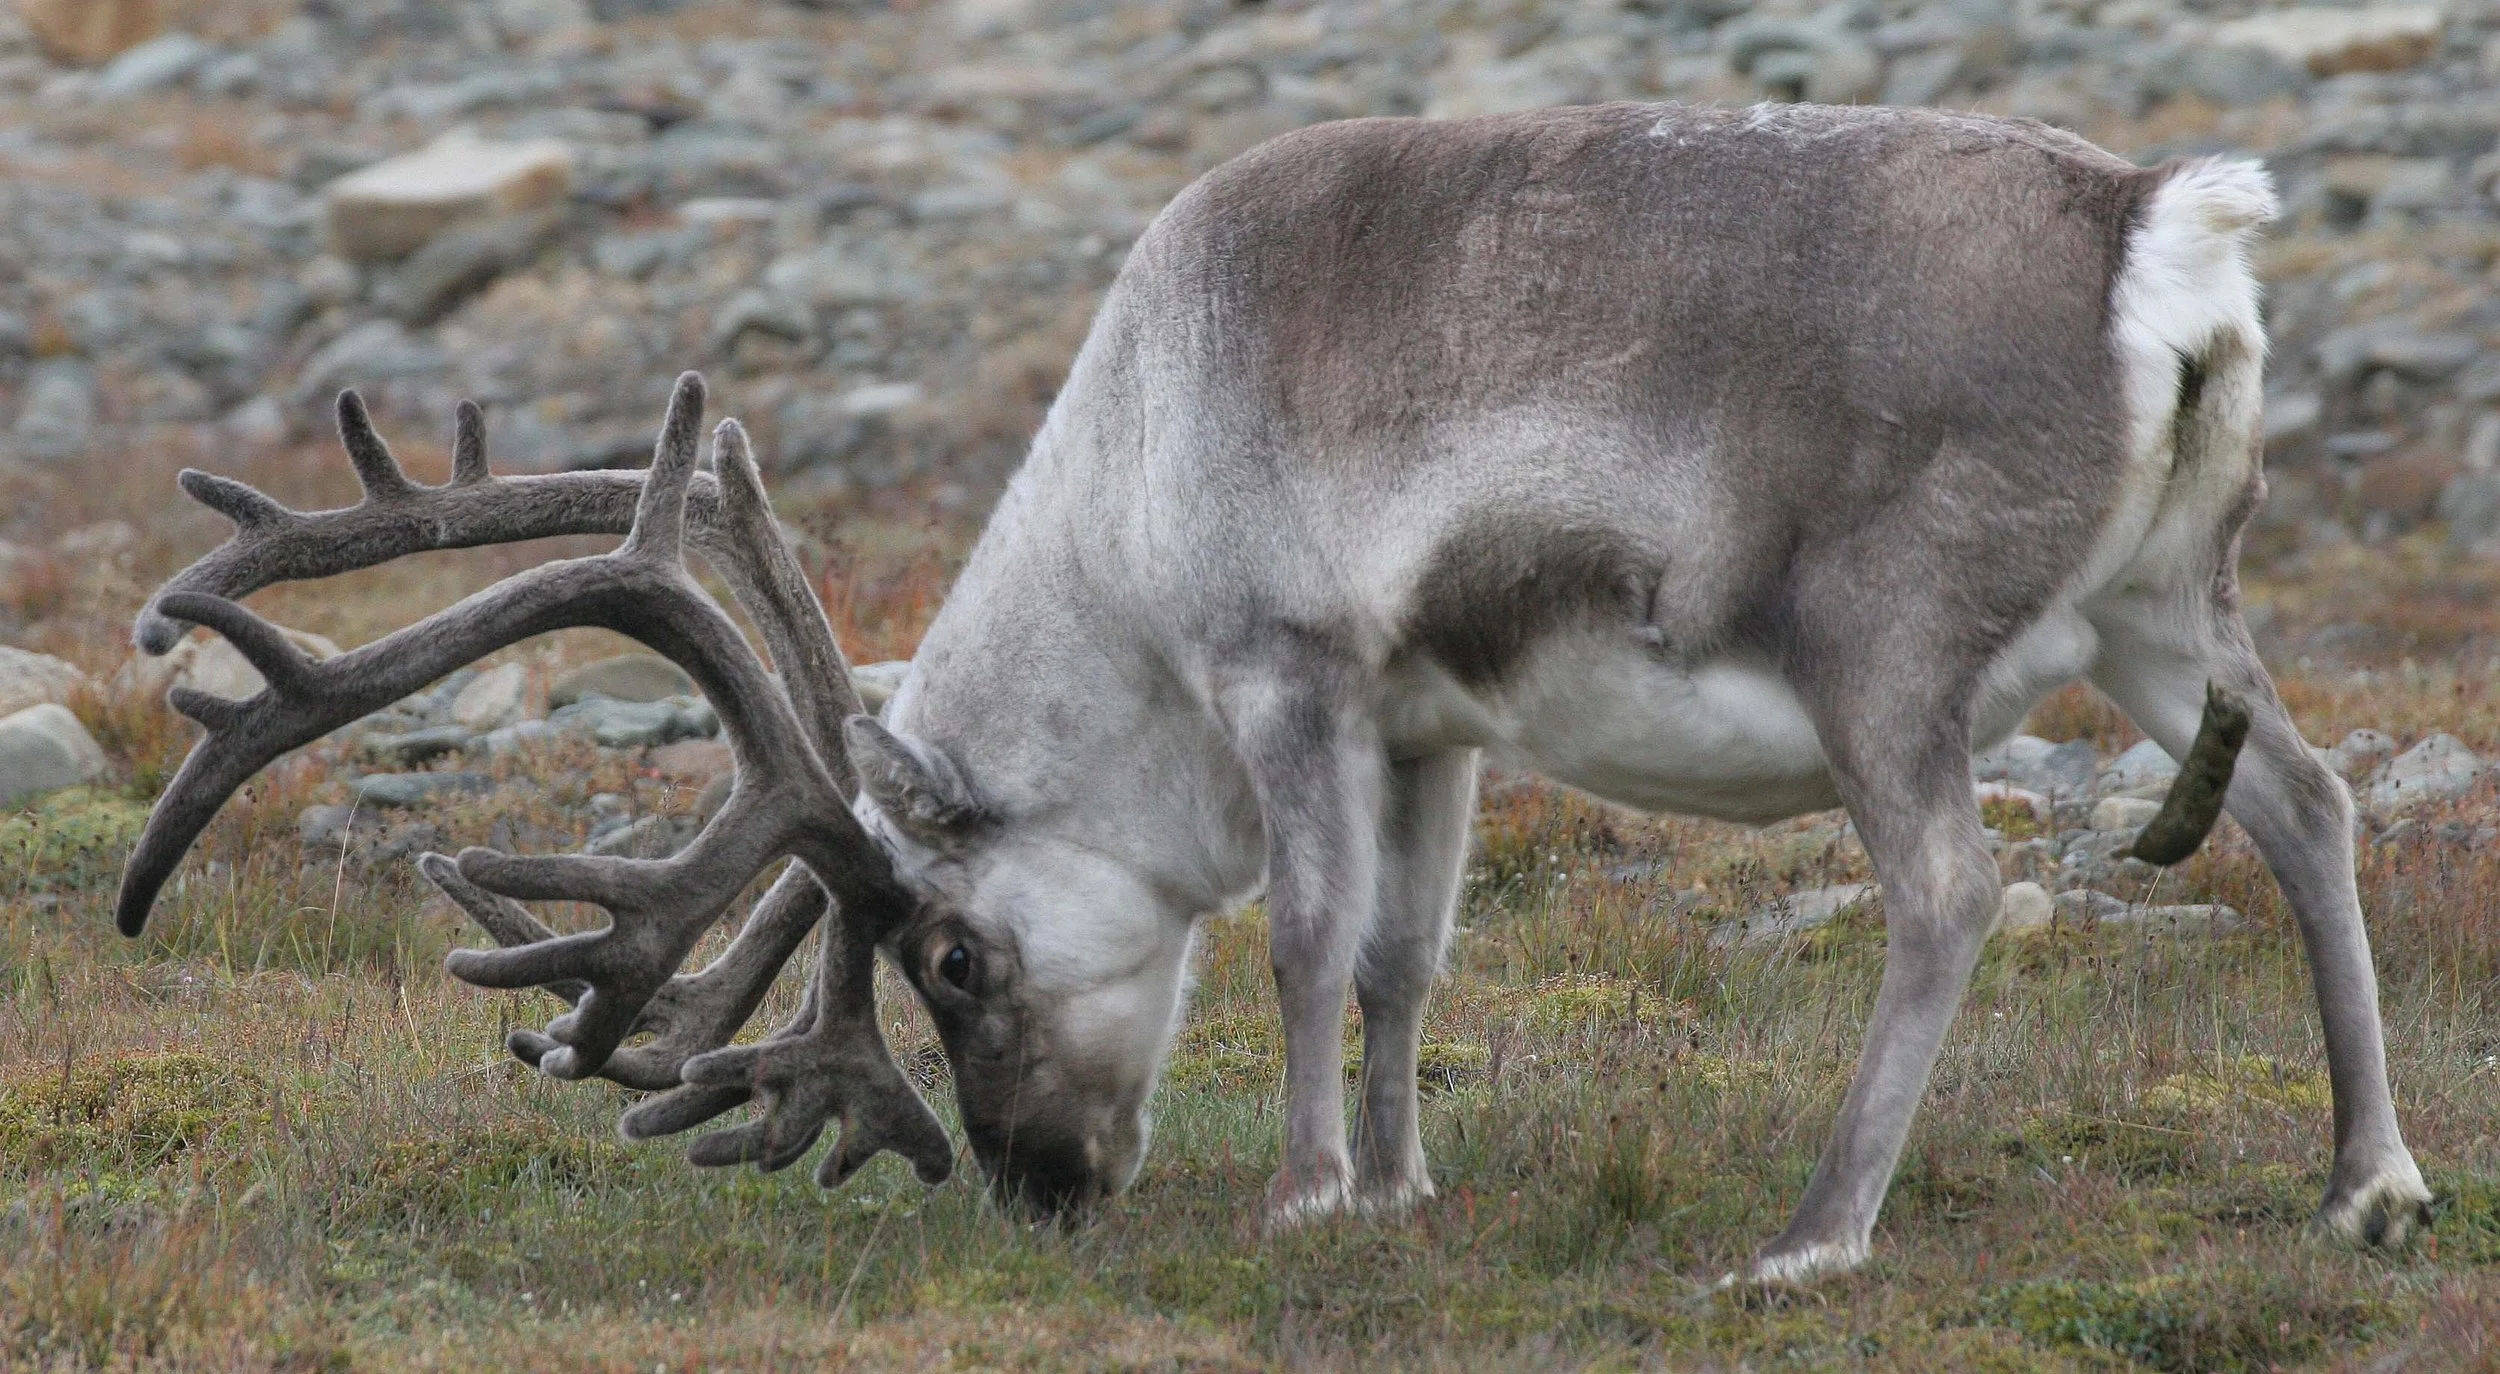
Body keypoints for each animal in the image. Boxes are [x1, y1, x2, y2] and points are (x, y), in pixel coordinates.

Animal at [112, 101, 2431, 1283]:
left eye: (947, 956)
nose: (1044, 1190)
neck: (1128, 503)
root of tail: (2162, 231)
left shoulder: (1285, 669)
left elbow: (1306, 938)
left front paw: (1308, 1194)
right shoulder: (1430, 721)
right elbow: (1405, 956)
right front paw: (1397, 1186)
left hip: (1889, 650)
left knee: (1949, 886)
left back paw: (1807, 1236)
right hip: (2164, 615)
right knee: (2310, 807)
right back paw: (2367, 1184)